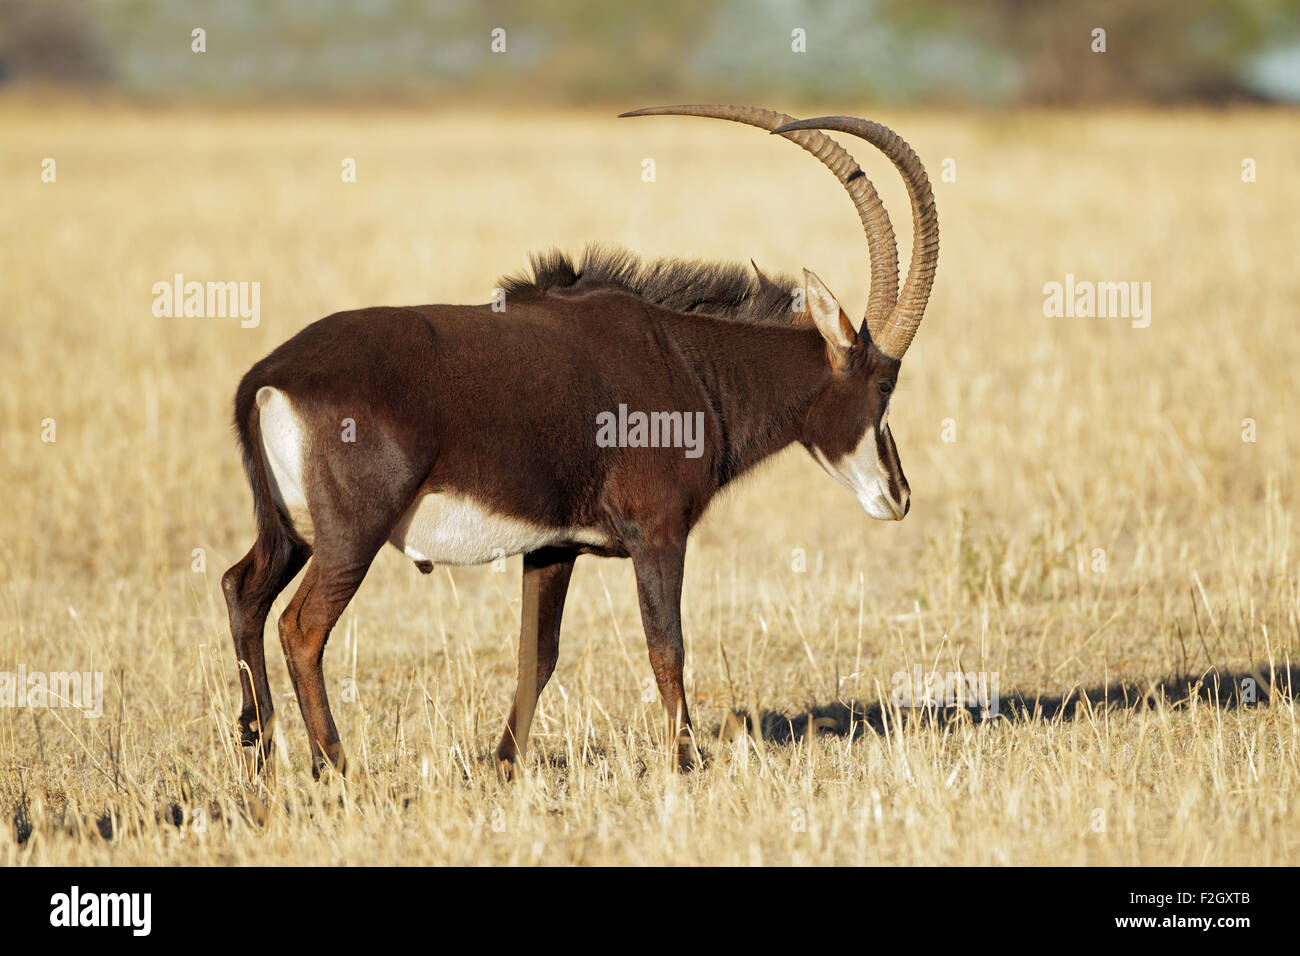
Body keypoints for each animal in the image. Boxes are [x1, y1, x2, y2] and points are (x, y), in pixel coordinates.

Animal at [221, 105, 938, 779]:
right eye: (883, 386)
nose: (900, 497)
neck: (686, 360)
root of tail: (270, 374)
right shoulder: (657, 533)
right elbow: (666, 645)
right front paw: (687, 763)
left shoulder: (552, 547)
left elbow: (536, 655)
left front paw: (505, 765)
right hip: (353, 534)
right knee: (301, 626)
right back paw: (335, 769)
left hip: (291, 532)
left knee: (243, 589)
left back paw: (261, 757)